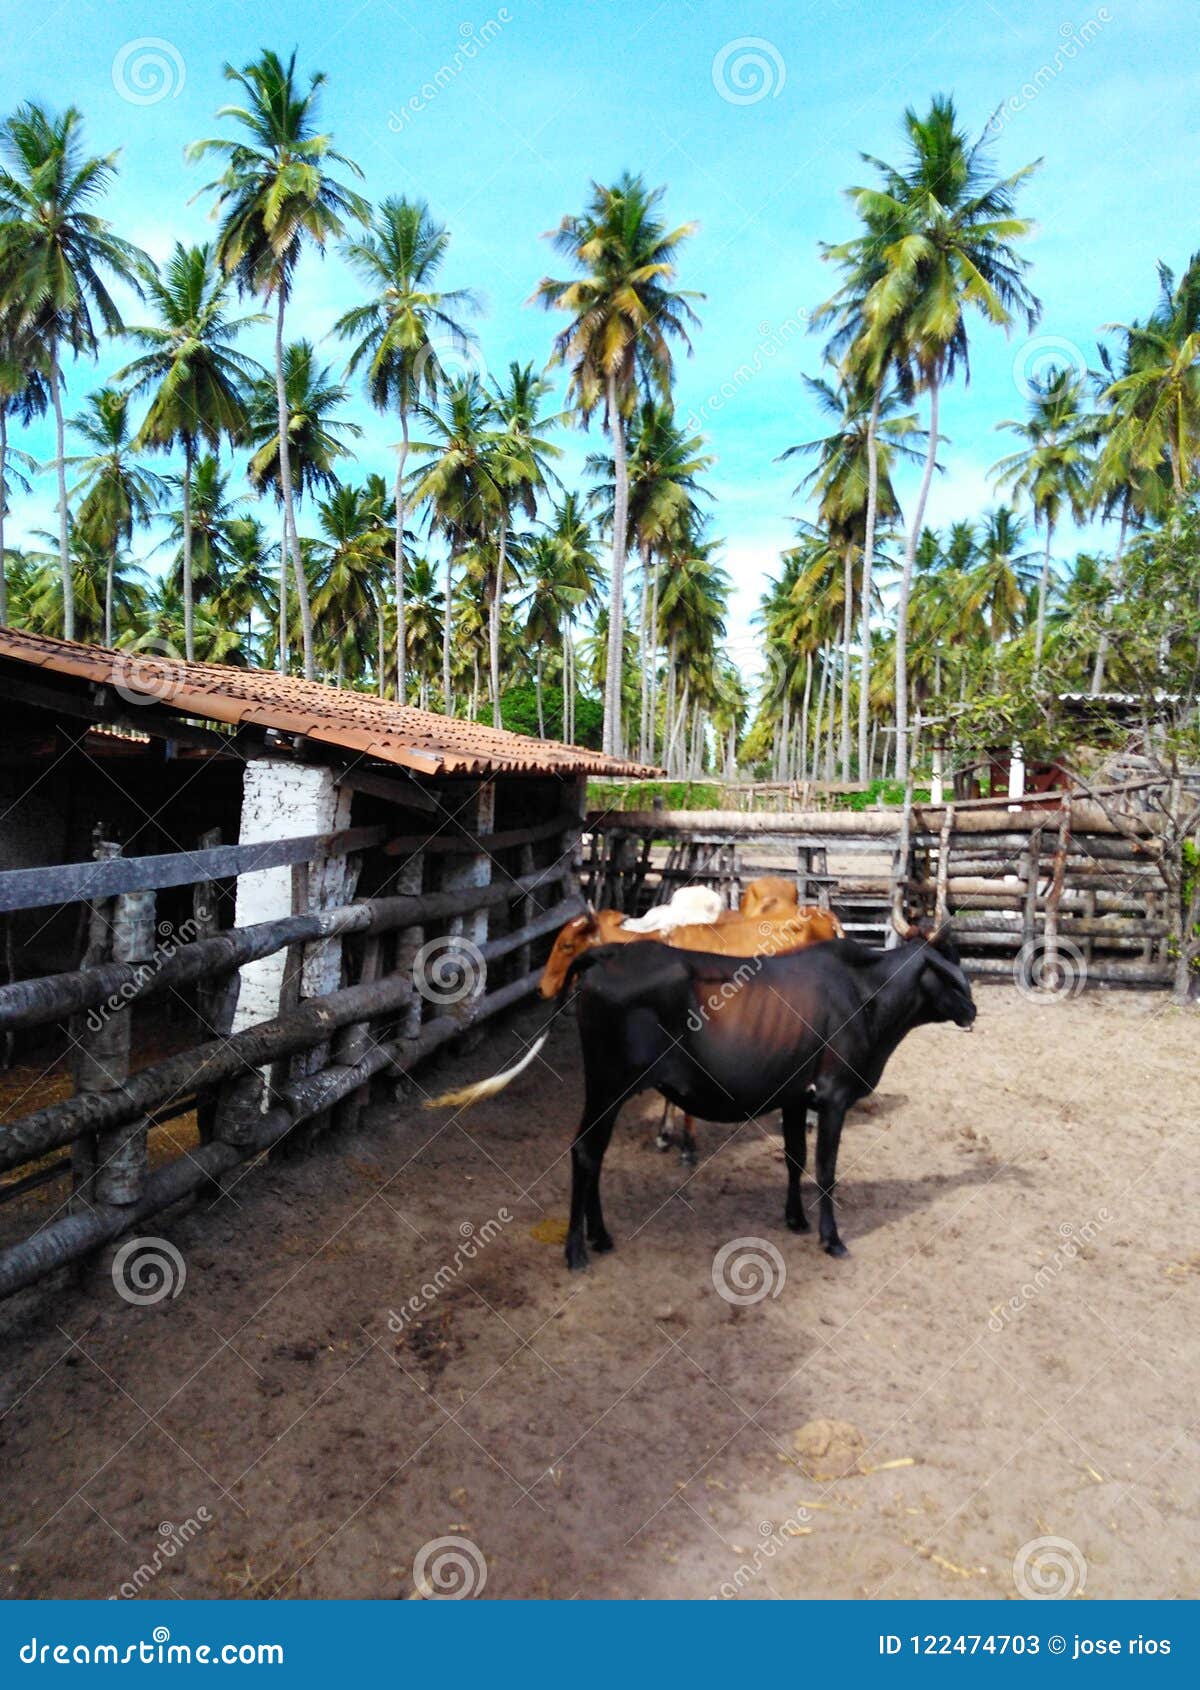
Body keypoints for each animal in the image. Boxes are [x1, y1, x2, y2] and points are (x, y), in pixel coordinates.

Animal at [560, 927, 976, 1271]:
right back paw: (577, 1250)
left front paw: (796, 1219)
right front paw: (832, 1239)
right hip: (607, 1085)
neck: (864, 994)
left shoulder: (795, 1097)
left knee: (595, 1152)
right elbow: (826, 1170)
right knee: (586, 1151)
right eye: (951, 980)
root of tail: (611, 952)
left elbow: (796, 1158)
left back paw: (599, 1237)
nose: (974, 1009)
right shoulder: (834, 1095)